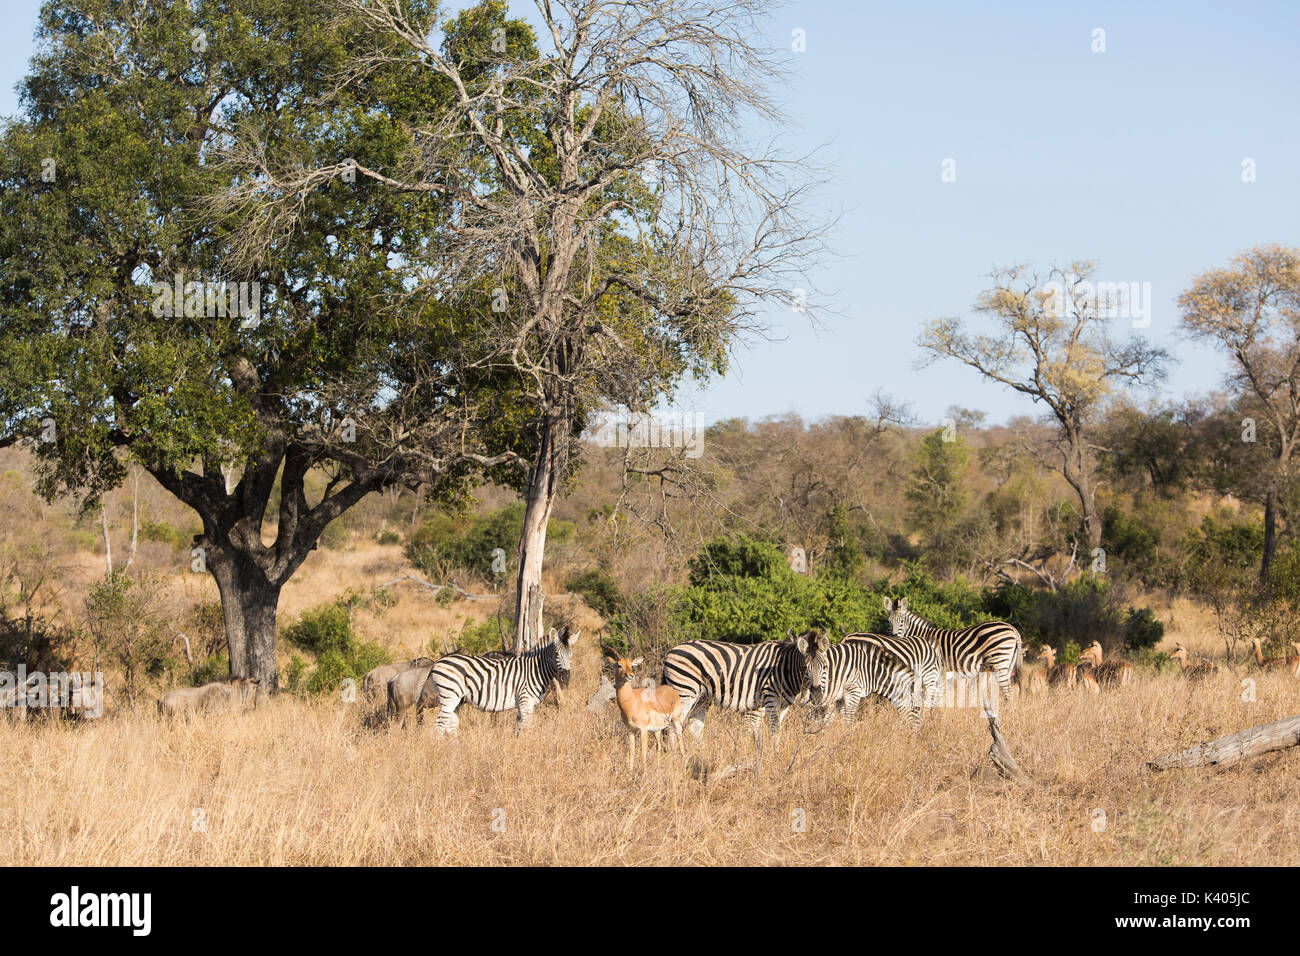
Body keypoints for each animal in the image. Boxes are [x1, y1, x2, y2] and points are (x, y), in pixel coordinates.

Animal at [419, 626, 580, 734]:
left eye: (571, 654)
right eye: (556, 653)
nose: (566, 678)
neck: (536, 669)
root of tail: (437, 662)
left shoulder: (522, 704)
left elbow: (518, 729)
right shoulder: (526, 701)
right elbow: (527, 728)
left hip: (457, 700)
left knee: (450, 725)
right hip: (449, 696)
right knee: (439, 726)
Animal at [660, 630, 829, 754]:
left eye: (825, 666)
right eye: (805, 668)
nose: (816, 695)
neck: (784, 667)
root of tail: (671, 650)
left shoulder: (783, 705)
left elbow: (770, 729)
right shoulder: (770, 697)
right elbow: (774, 729)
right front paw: (775, 755)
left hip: (702, 698)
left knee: (694, 727)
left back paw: (700, 754)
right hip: (684, 691)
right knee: (673, 725)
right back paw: (676, 756)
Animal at [883, 596, 1023, 697]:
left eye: (902, 621)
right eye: (888, 622)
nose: (894, 636)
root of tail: (1012, 628)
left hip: (999, 662)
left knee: (1008, 693)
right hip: (1007, 665)